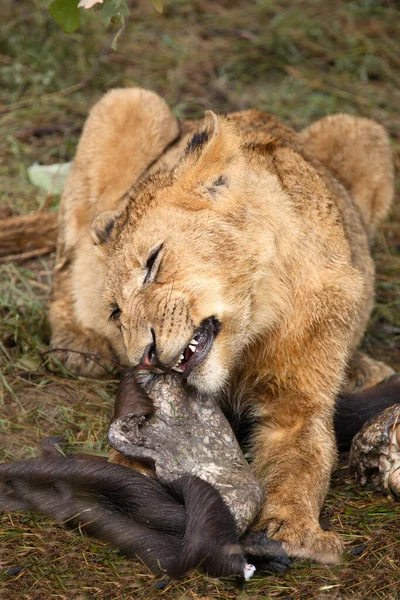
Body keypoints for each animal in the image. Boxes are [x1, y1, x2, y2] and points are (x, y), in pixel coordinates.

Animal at [48, 86, 396, 564]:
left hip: (363, 133)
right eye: (116, 312)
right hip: (130, 102)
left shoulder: (299, 406)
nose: (144, 356)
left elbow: (303, 464)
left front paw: (291, 529)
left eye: (153, 262)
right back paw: (75, 344)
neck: (252, 321)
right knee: (66, 263)